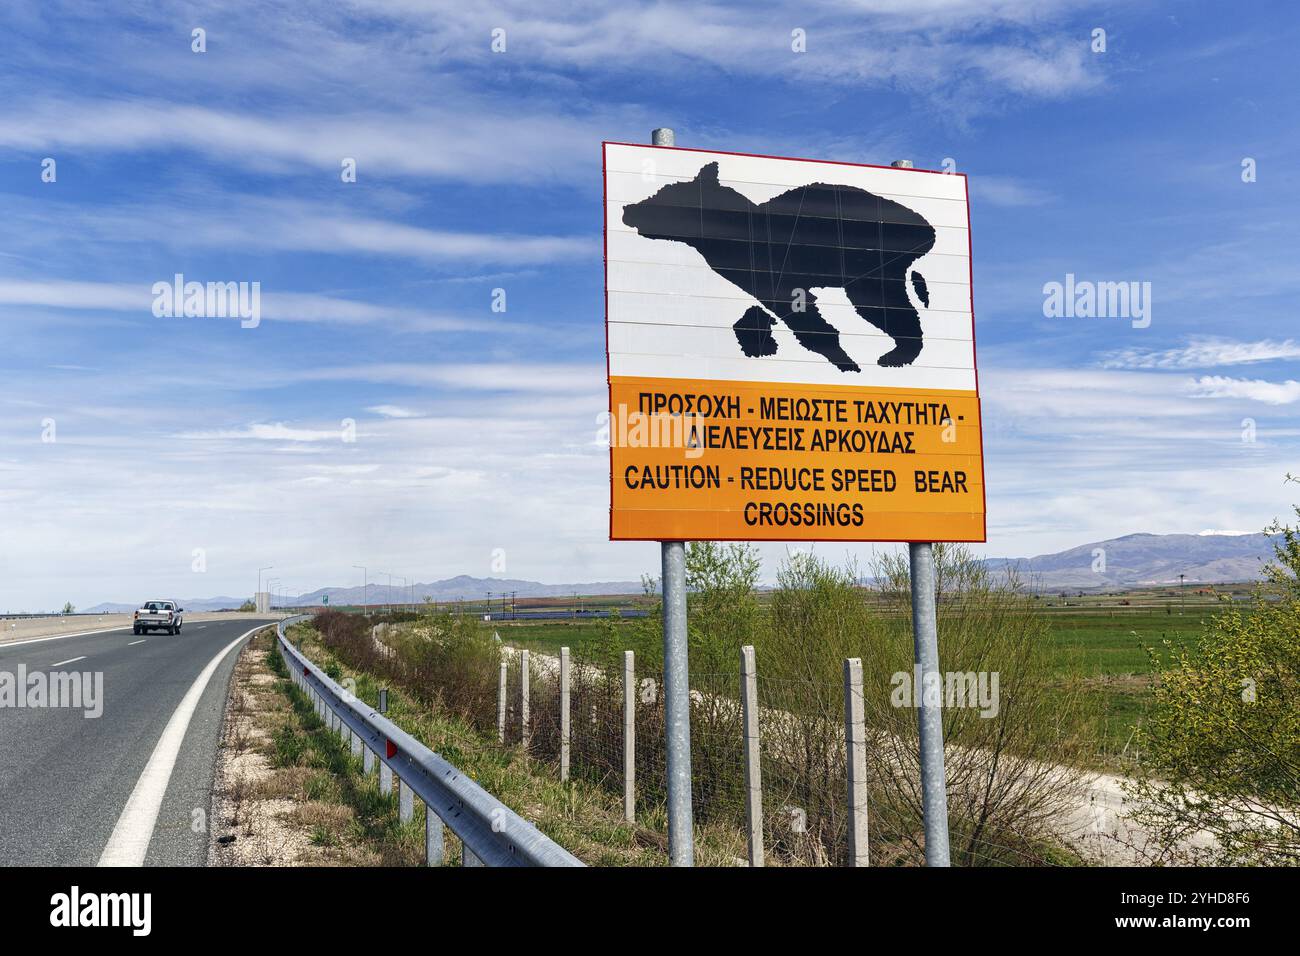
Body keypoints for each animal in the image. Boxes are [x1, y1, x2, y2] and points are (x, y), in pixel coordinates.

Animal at [621, 162, 936, 372]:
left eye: (661, 197)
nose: (627, 209)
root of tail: (926, 227)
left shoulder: (775, 283)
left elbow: (811, 324)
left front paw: (845, 364)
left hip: (870, 272)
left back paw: (896, 358)